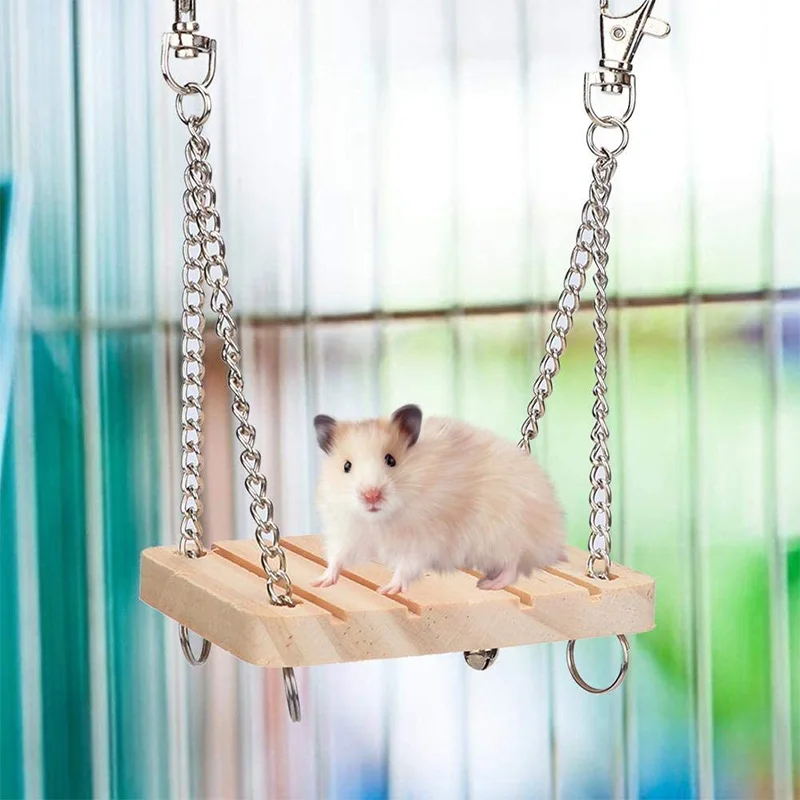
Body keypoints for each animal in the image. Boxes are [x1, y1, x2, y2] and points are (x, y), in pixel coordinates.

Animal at [310, 404, 567, 595]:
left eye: (391, 460)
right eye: (346, 466)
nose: (371, 495)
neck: (379, 520)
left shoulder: (421, 539)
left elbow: (405, 566)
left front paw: (388, 589)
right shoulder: (346, 530)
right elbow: (336, 557)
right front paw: (320, 581)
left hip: (505, 532)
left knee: (513, 562)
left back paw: (489, 584)